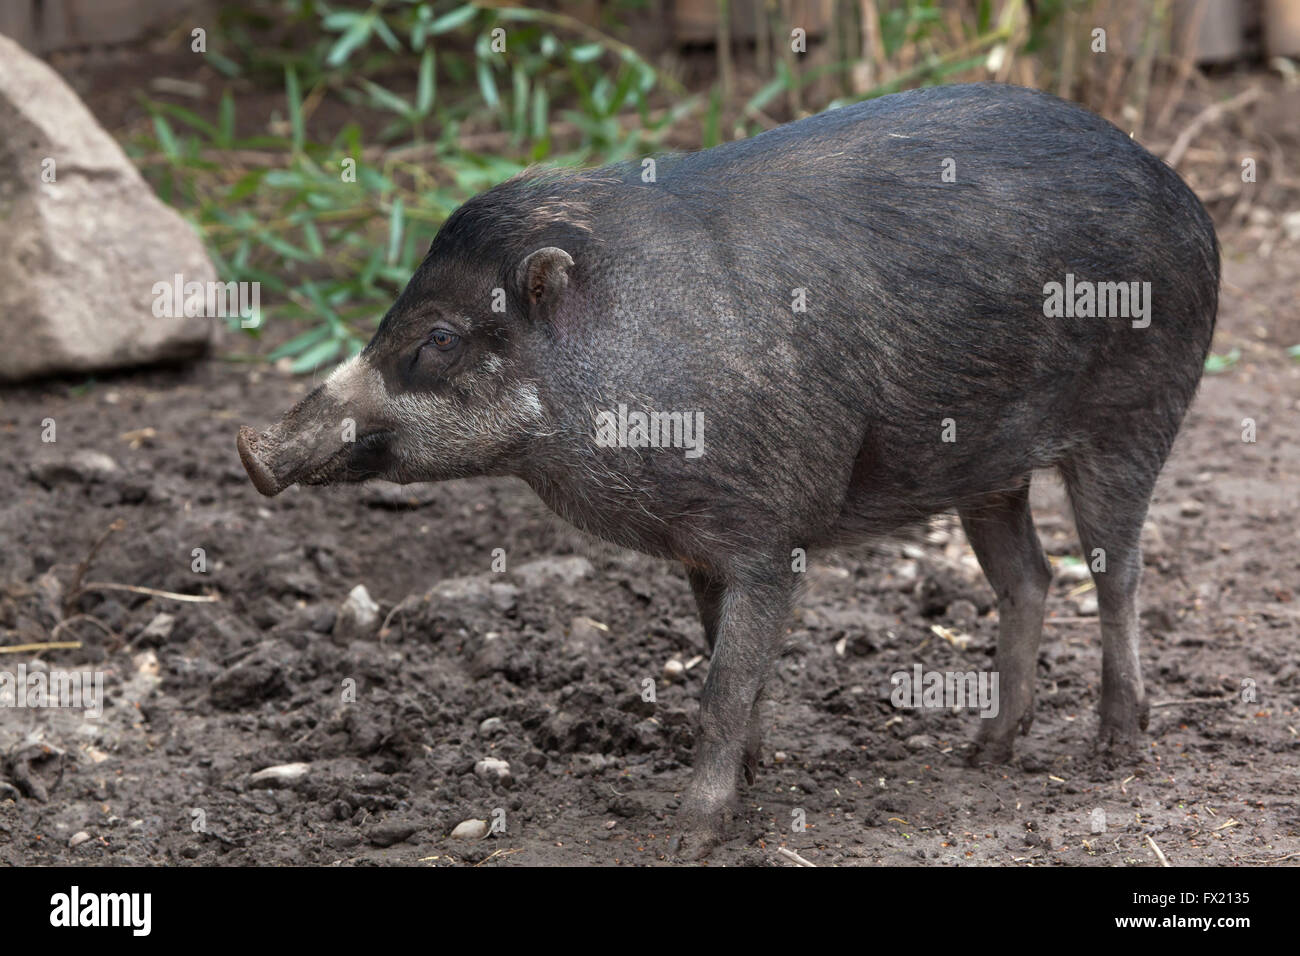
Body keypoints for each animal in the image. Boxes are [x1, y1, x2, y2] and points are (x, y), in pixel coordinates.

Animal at [238, 83, 1219, 857]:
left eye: (439, 338)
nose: (253, 451)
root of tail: (1180, 187)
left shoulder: (768, 533)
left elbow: (721, 684)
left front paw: (687, 837)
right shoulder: (700, 549)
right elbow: (730, 669)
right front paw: (752, 776)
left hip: (1138, 412)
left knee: (1119, 572)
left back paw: (1114, 753)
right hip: (986, 467)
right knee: (1030, 578)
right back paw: (983, 752)